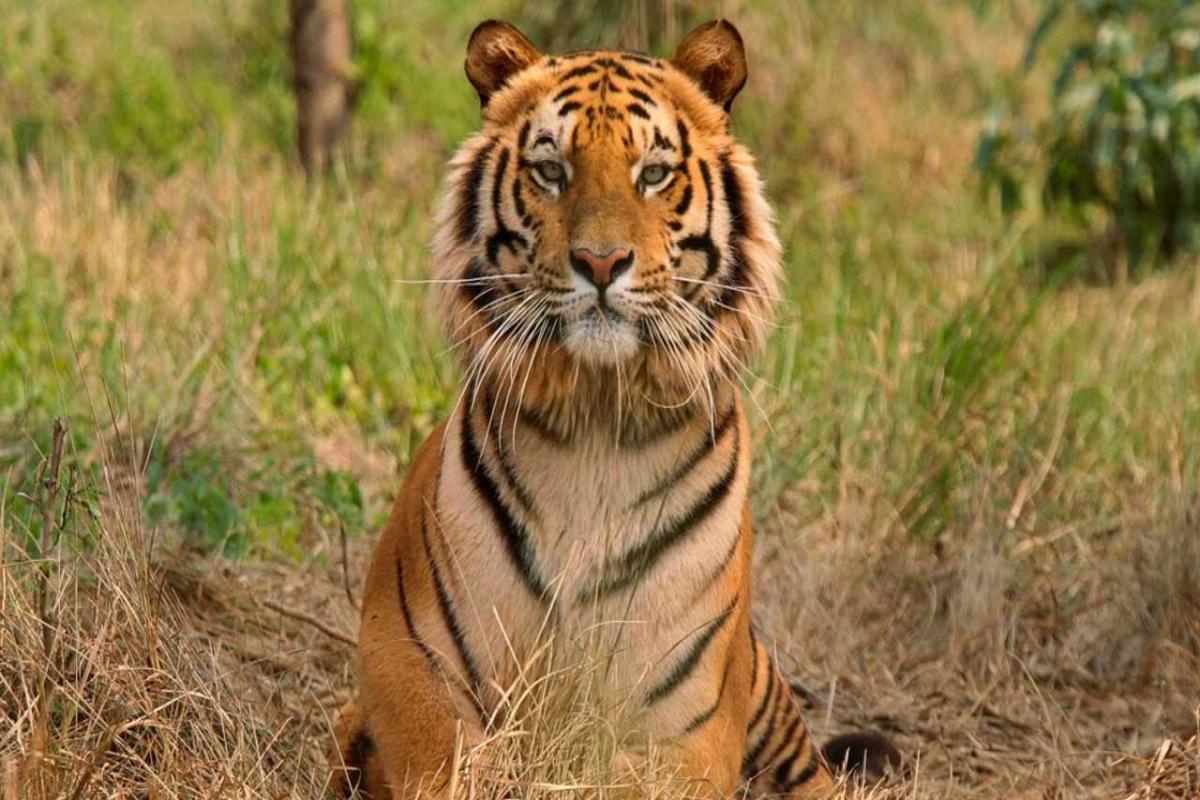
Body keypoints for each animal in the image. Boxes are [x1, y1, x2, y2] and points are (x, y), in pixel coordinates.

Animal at [332, 18, 897, 799]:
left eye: (652, 173)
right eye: (551, 170)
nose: (600, 263)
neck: (596, 422)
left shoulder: (689, 727)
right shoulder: (404, 657)